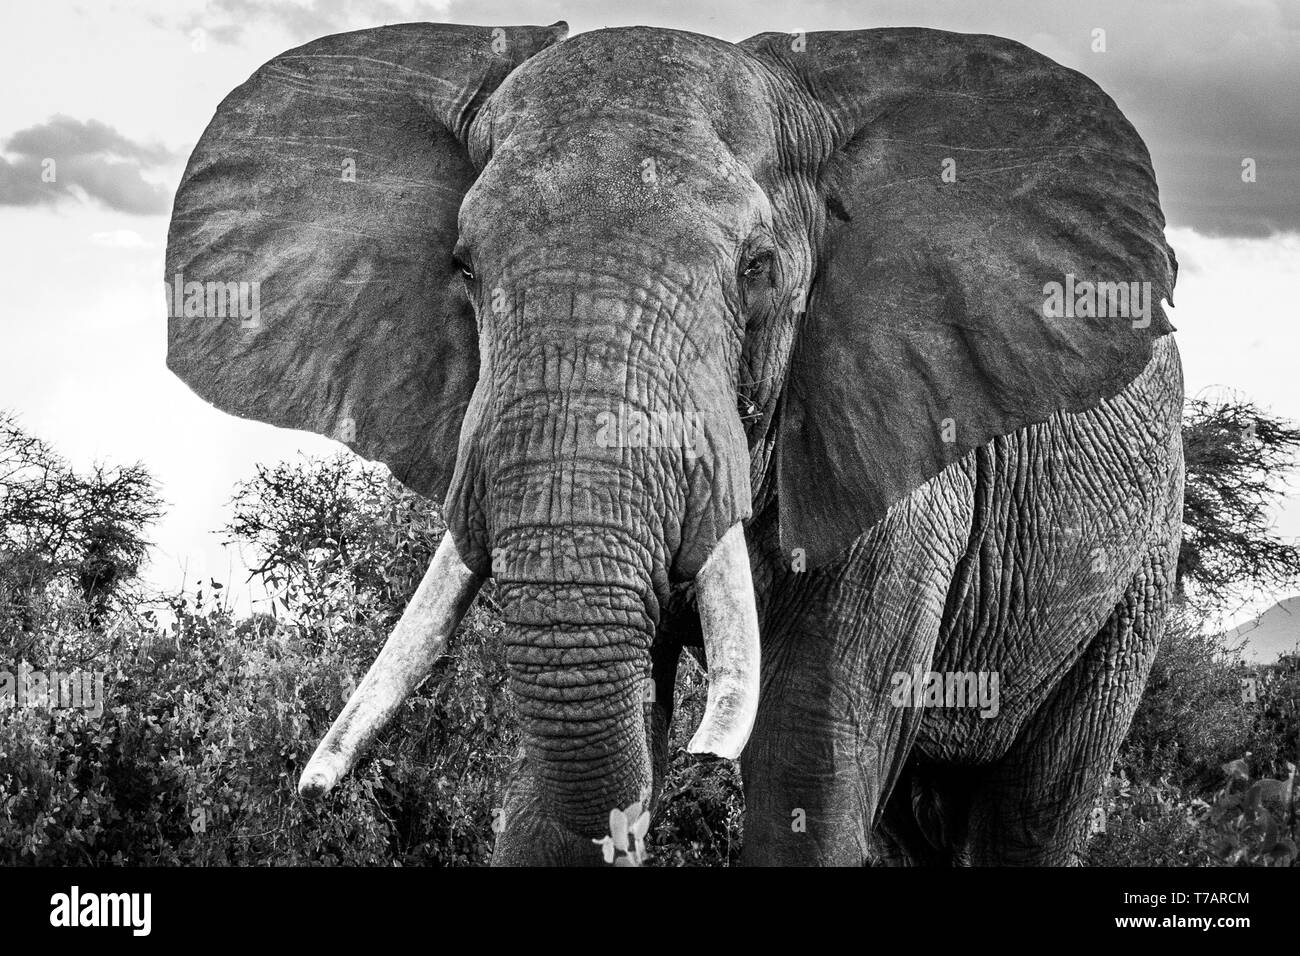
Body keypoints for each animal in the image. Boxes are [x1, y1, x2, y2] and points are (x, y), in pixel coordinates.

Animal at [165, 21, 1182, 866]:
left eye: (757, 268)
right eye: (462, 267)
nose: (311, 792)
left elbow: (808, 774)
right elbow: (557, 797)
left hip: (1140, 568)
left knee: (1036, 809)